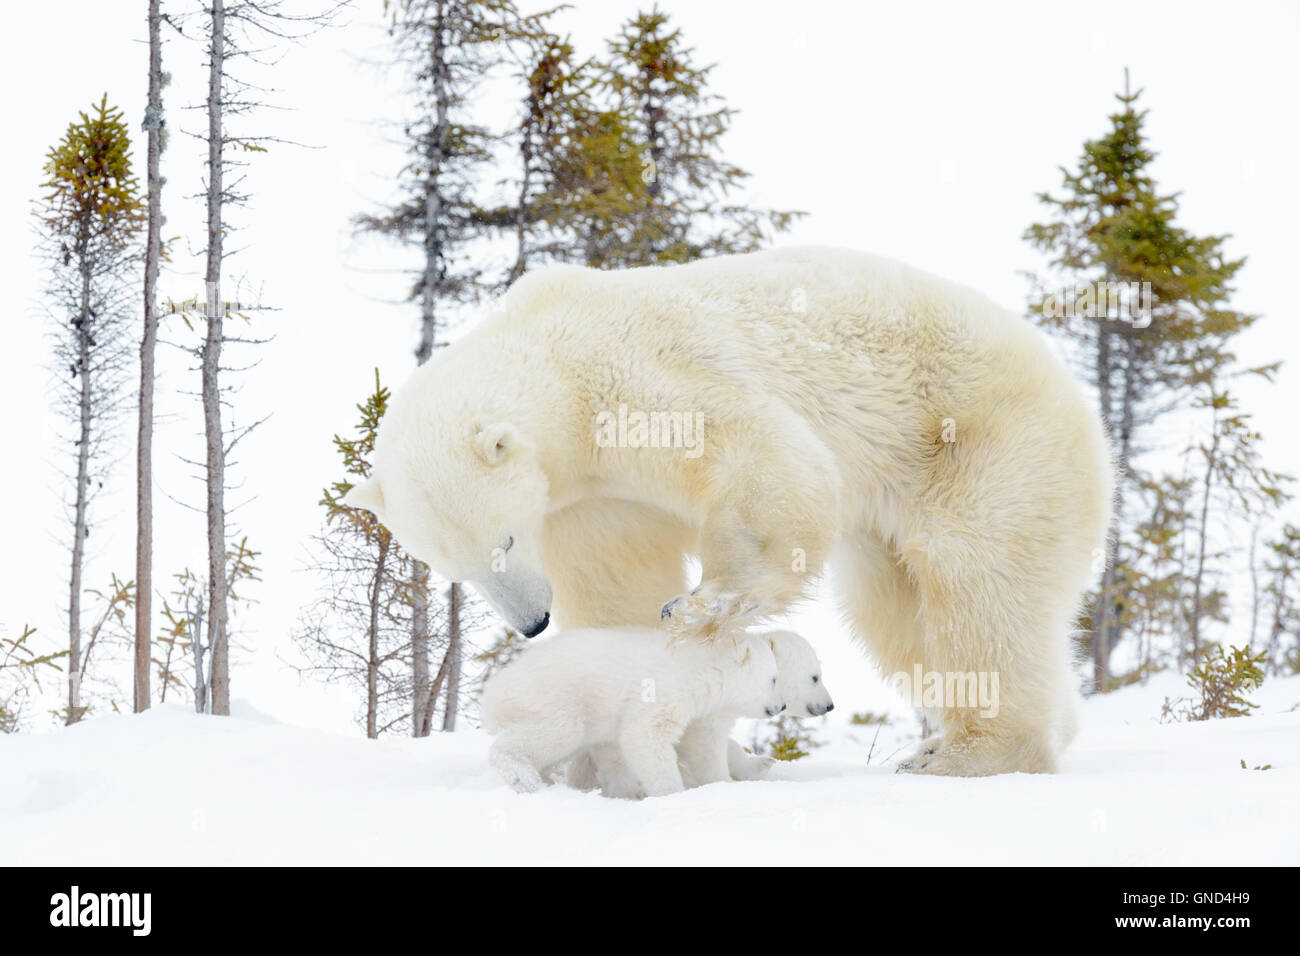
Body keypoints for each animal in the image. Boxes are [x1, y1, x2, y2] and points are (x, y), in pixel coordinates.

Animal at [344, 246, 1113, 776]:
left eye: (503, 540)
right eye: (454, 568)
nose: (533, 623)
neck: (556, 349)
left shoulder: (643, 377)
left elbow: (767, 459)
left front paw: (700, 606)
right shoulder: (593, 496)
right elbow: (616, 577)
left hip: (981, 445)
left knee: (976, 582)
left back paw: (968, 755)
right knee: (895, 612)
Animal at [480, 626, 786, 797]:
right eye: (773, 678)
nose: (781, 706)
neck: (698, 667)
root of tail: (494, 691)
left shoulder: (699, 710)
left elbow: (702, 745)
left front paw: (726, 780)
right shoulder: (663, 690)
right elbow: (646, 735)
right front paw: (672, 793)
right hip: (552, 698)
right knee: (559, 731)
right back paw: (524, 776)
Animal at [566, 628, 835, 797]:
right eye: (815, 677)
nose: (830, 705)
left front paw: (760, 763)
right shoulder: (706, 709)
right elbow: (703, 744)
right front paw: (726, 780)